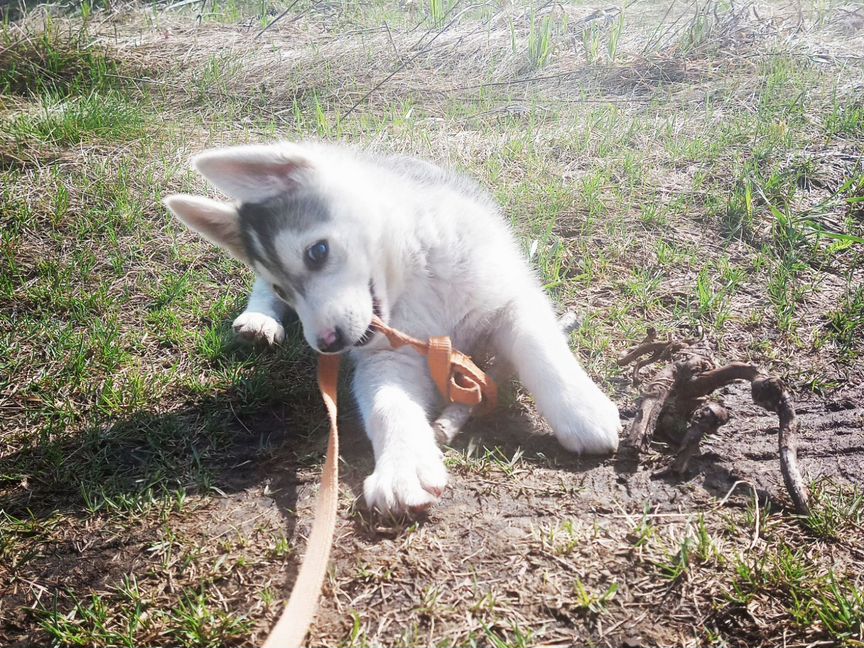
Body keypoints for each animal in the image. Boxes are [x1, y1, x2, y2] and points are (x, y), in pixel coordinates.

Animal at [164, 142, 620, 515]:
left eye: (317, 253)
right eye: (284, 287)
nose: (328, 343)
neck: (412, 277)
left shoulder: (508, 296)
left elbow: (541, 348)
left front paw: (581, 410)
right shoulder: (385, 357)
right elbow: (388, 406)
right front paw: (403, 466)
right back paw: (259, 320)